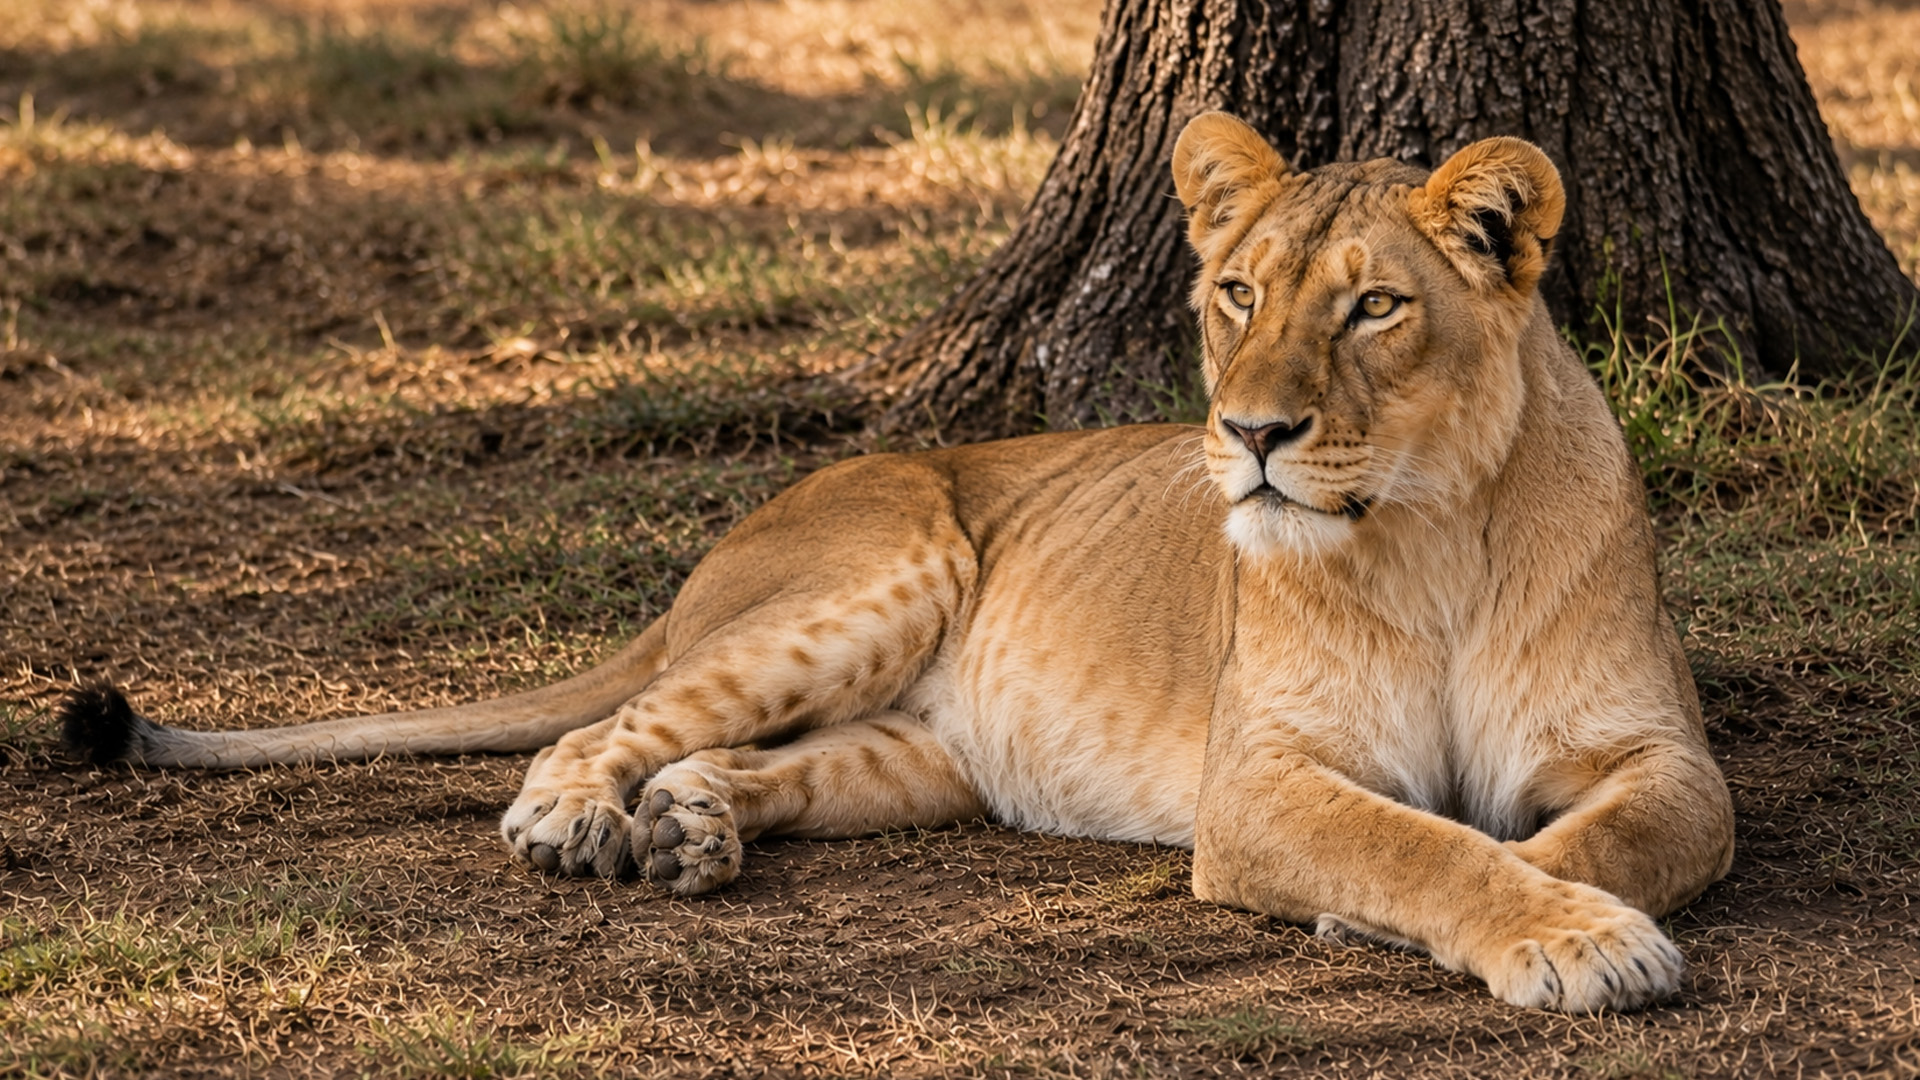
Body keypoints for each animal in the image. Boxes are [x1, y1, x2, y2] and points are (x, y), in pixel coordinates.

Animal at [60, 112, 1734, 1013]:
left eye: (1375, 306)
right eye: (1238, 293)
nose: (1251, 432)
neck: (1427, 533)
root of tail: (729, 545)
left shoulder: (1663, 756)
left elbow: (1591, 838)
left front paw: (1535, 911)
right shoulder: (1255, 780)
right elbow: (1418, 844)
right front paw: (1562, 942)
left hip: (928, 751)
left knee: (765, 759)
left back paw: (689, 831)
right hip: (892, 563)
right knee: (612, 724)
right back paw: (577, 821)